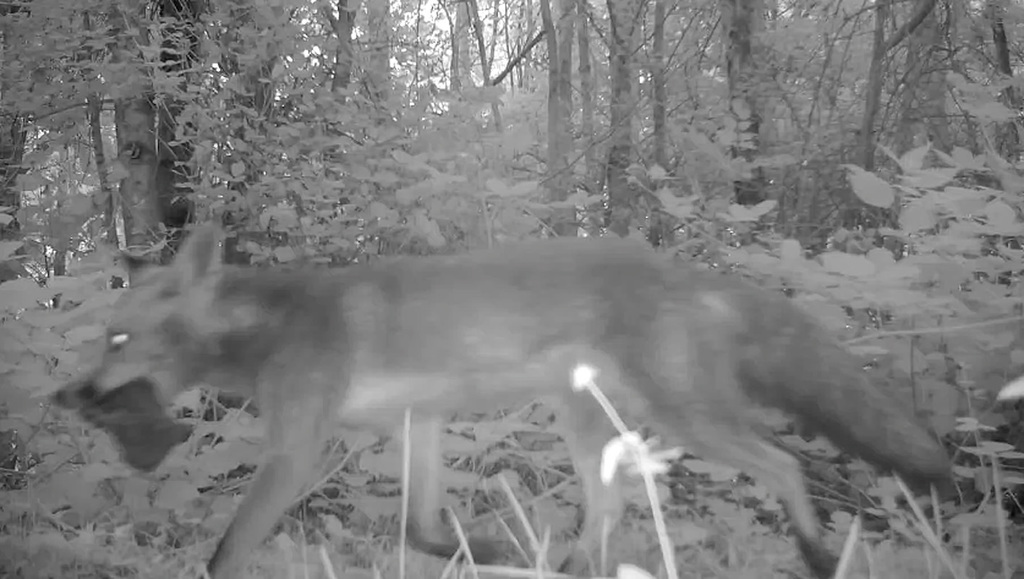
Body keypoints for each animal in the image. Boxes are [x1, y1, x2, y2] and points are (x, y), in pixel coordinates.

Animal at [51, 223, 953, 579]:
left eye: (120, 340)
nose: (73, 392)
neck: (276, 327)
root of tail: (688, 272)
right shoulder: (419, 421)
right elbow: (421, 531)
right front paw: (493, 549)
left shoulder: (296, 447)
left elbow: (228, 548)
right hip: (590, 425)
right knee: (607, 517)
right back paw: (569, 566)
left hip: (685, 417)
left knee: (786, 460)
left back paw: (816, 550)